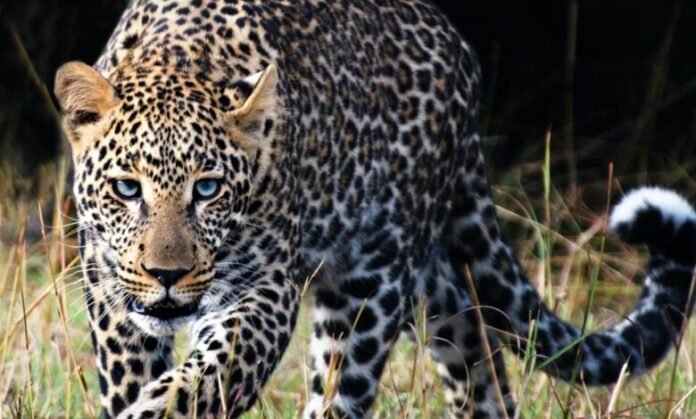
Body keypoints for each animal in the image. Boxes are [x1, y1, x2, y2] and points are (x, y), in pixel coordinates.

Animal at [53, 0, 695, 418]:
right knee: (476, 348)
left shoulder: (264, 287)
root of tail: (457, 47)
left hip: (371, 286)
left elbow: (206, 378)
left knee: (342, 393)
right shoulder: (110, 293)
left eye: (207, 189)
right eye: (127, 189)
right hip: (433, 290)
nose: (168, 275)